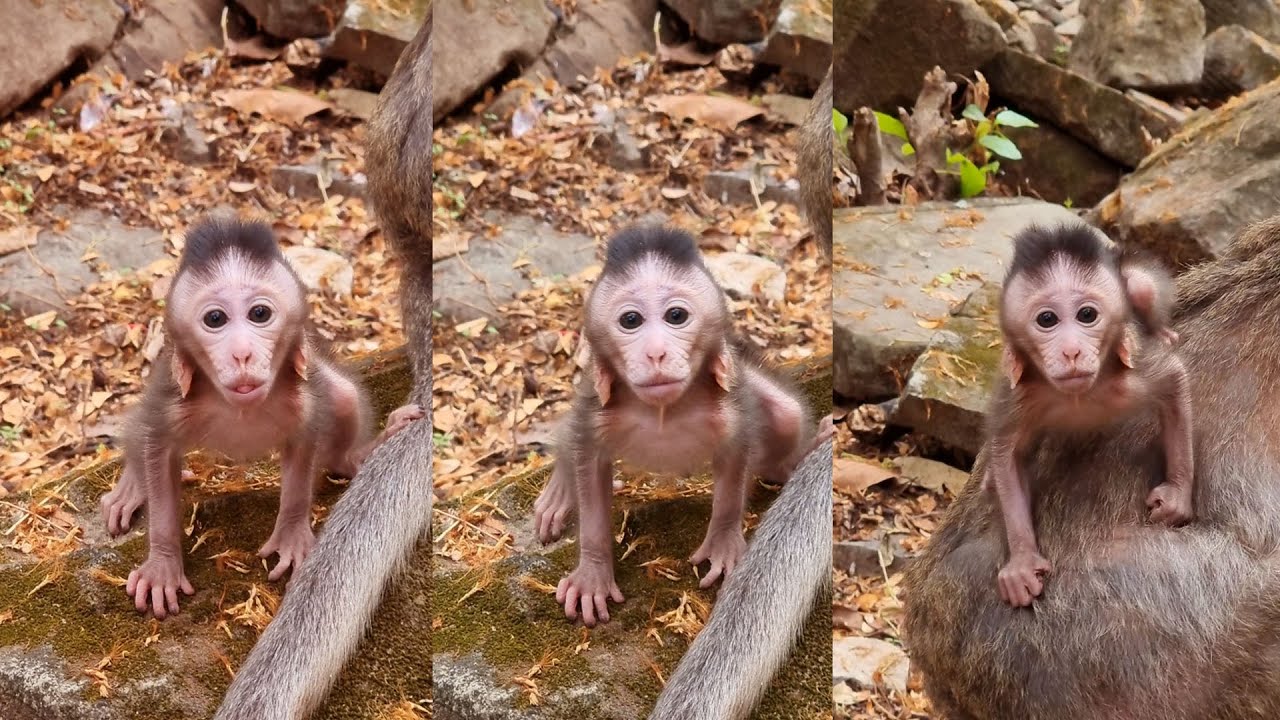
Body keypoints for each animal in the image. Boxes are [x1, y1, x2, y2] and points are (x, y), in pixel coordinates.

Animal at [99, 216, 422, 619]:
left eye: (259, 314)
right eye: (215, 319)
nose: (241, 354)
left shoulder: (303, 395)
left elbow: (303, 449)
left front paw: (291, 535)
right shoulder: (173, 395)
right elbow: (157, 445)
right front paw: (162, 564)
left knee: (343, 397)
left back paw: (357, 457)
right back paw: (132, 486)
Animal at [531, 225, 822, 627]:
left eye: (676, 315)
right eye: (631, 321)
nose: (656, 353)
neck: (665, 409)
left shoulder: (732, 401)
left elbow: (736, 459)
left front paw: (723, 542)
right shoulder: (596, 406)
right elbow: (588, 461)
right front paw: (592, 572)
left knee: (786, 412)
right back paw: (560, 489)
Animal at [984, 223, 1193, 607]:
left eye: (1087, 315)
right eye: (1047, 319)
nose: (1071, 351)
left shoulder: (1132, 376)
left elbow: (1175, 380)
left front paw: (1176, 494)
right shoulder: (1020, 396)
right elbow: (1008, 455)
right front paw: (1021, 562)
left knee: (1140, 283)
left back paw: (1161, 329)